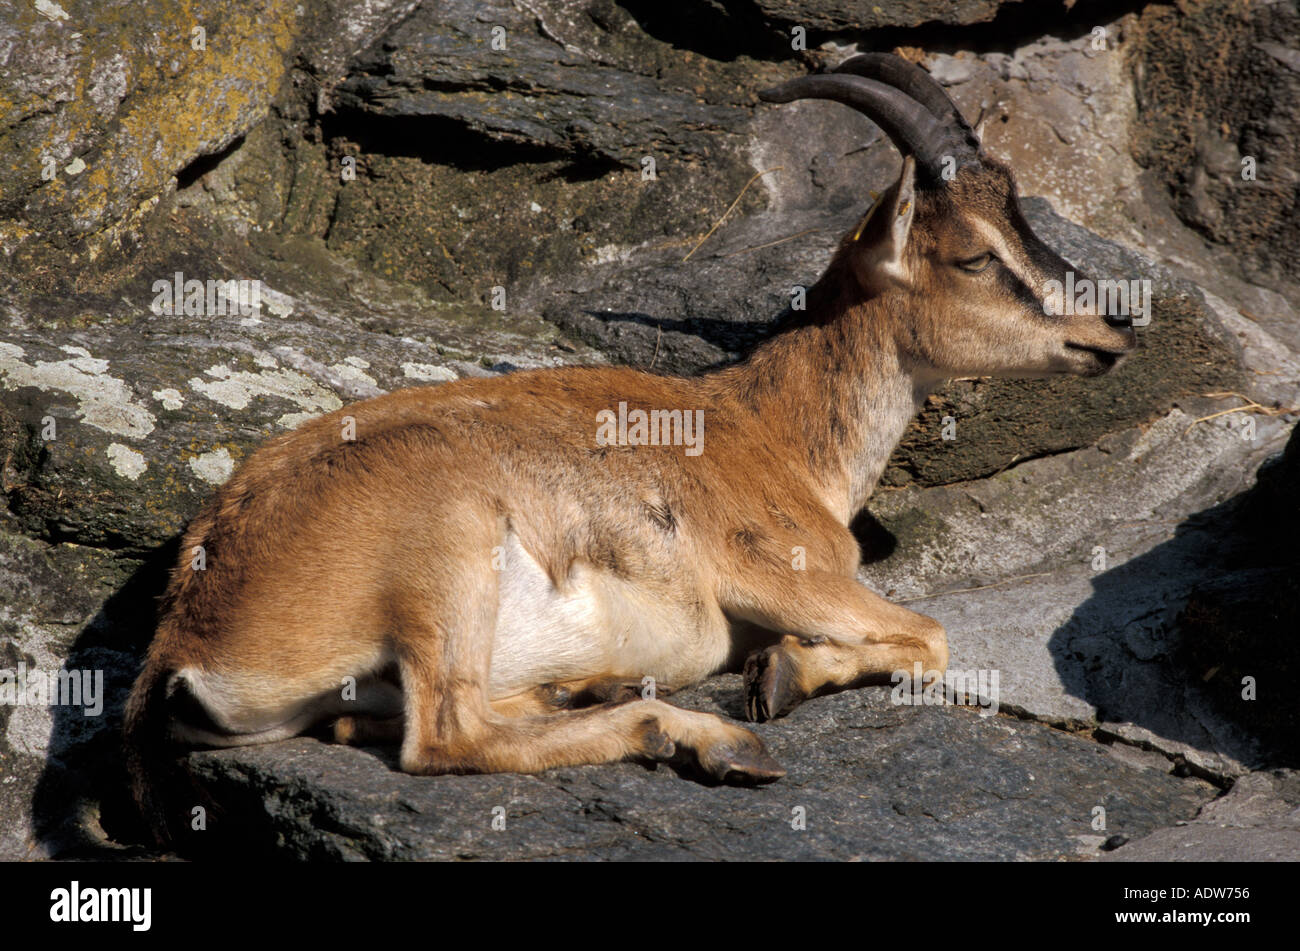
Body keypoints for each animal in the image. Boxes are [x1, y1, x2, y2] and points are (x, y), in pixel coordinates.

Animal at [124, 53, 1137, 843]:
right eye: (973, 254)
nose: (1112, 328)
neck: (769, 434)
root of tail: (188, 631)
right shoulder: (777, 571)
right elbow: (930, 633)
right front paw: (780, 677)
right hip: (449, 553)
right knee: (443, 735)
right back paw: (704, 739)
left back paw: (589, 692)